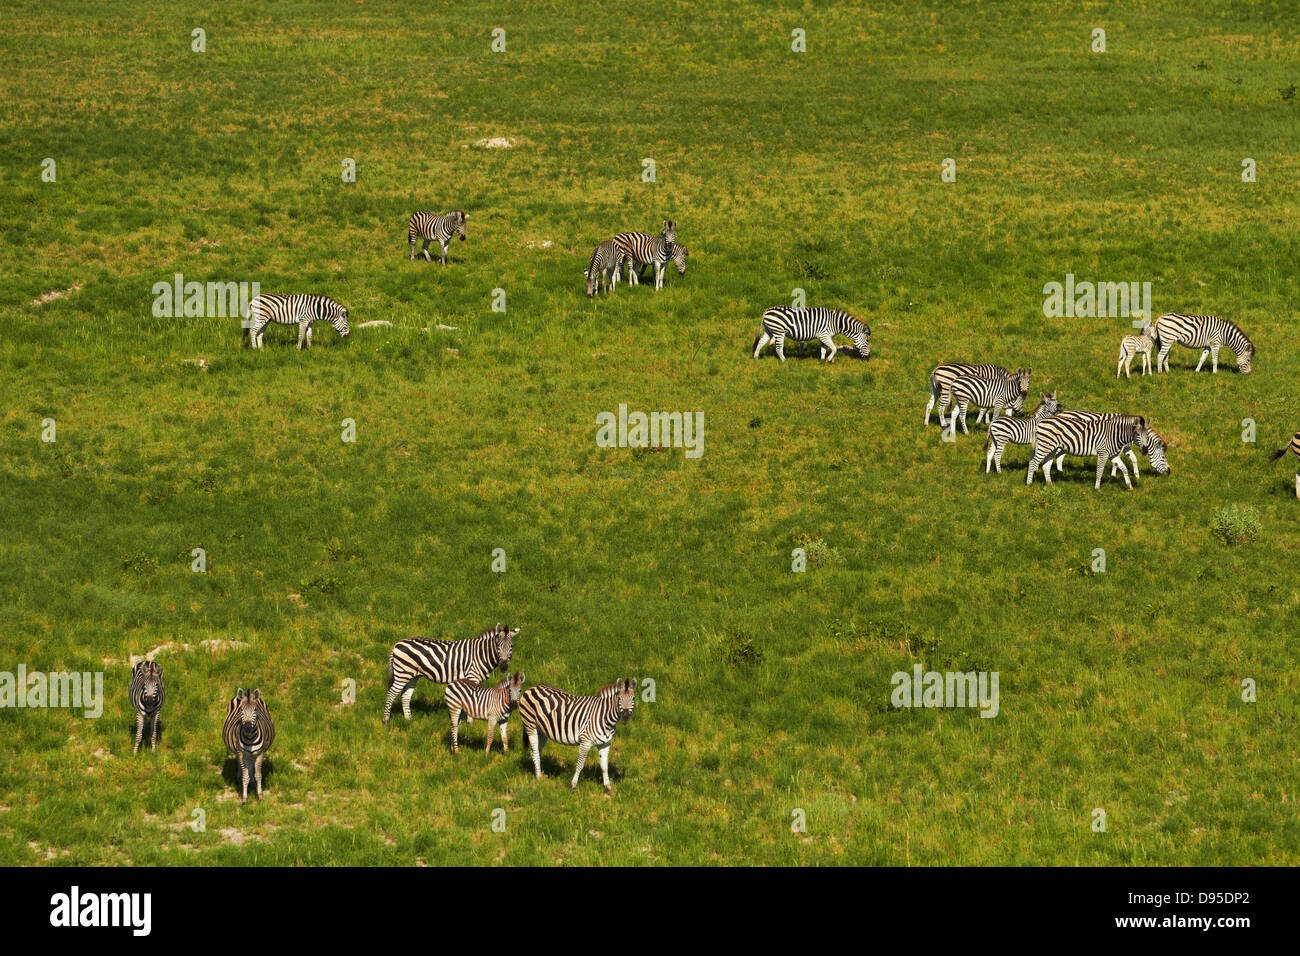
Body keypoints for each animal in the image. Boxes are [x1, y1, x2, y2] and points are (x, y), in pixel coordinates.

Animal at [383, 623, 519, 723]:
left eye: (511, 646)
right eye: (498, 646)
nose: (504, 666)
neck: (481, 654)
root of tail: (397, 644)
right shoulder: (472, 676)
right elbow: (472, 698)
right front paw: (470, 722)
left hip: (412, 675)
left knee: (405, 696)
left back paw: (408, 720)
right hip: (403, 673)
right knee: (391, 693)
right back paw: (385, 720)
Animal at [1026, 411, 1169, 489]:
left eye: (1146, 436)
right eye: (1163, 457)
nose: (1169, 472)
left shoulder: (1118, 450)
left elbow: (1127, 463)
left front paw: (1133, 481)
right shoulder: (1106, 451)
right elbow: (1103, 469)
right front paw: (1104, 482)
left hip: (1054, 447)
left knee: (1047, 464)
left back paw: (1051, 482)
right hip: (1048, 446)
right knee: (1034, 462)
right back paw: (1029, 483)